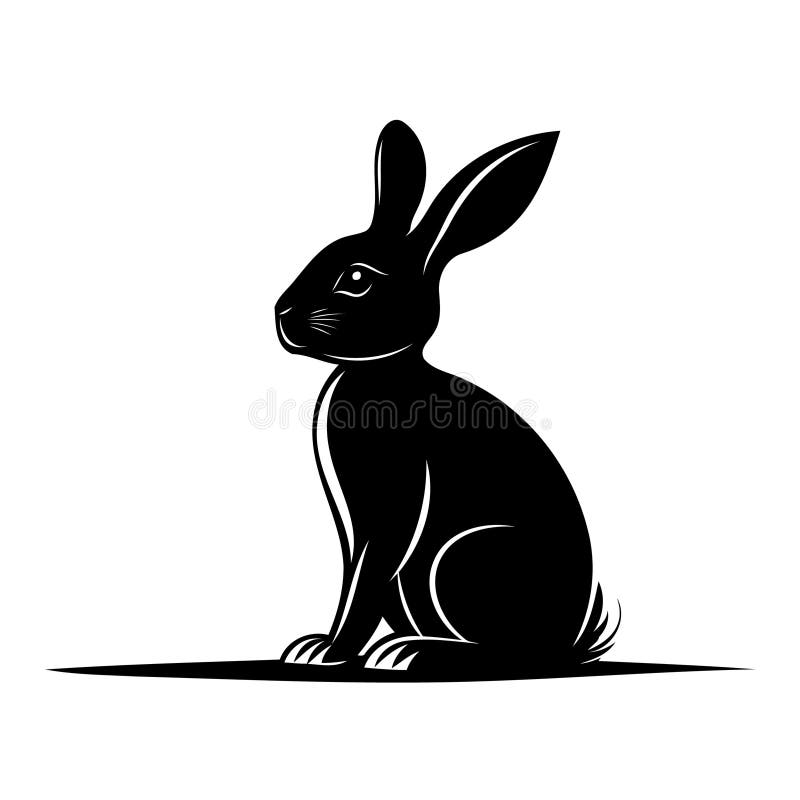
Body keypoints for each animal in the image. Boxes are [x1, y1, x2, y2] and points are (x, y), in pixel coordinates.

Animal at [275, 121, 619, 675]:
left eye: (356, 278)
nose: (280, 313)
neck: (381, 370)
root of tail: (567, 644)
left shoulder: (394, 503)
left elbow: (364, 583)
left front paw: (330, 653)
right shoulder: (352, 526)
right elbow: (352, 579)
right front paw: (312, 647)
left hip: (466, 558)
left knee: (506, 650)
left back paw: (410, 653)